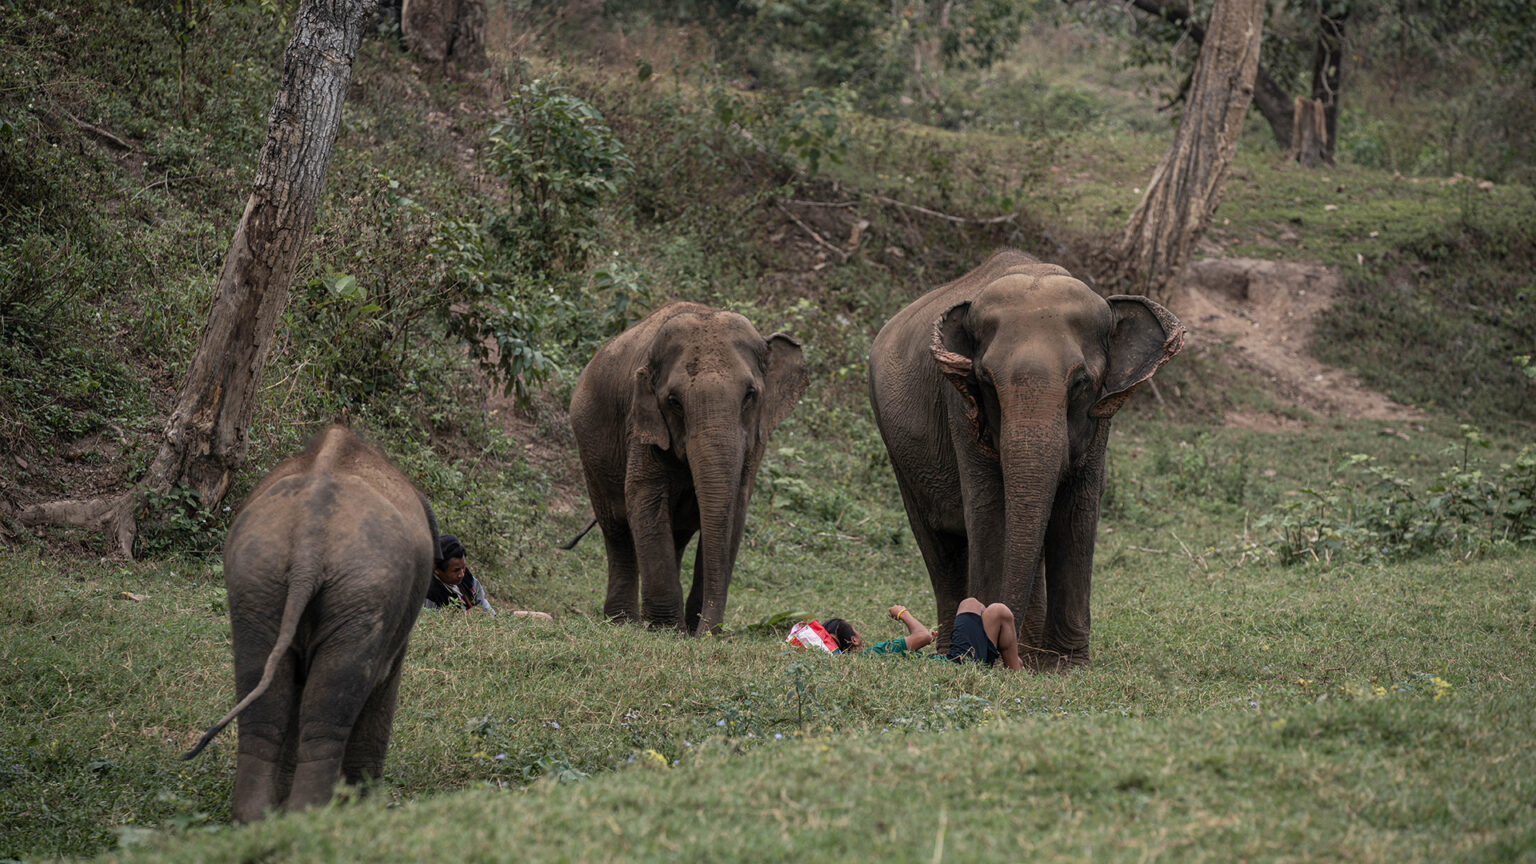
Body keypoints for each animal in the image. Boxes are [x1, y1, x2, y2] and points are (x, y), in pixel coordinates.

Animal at [183, 425, 438, 823]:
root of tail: (309, 542)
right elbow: (384, 682)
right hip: (362, 589)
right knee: (330, 707)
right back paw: (314, 815)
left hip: (257, 581)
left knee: (262, 701)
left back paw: (256, 819)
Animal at [569, 302, 809, 635]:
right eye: (674, 402)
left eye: (750, 395)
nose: (706, 632)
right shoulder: (640, 425)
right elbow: (644, 498)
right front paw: (667, 630)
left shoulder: (756, 440)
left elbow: (735, 508)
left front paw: (692, 629)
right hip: (590, 451)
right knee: (617, 530)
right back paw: (623, 622)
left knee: (676, 534)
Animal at [868, 250, 1184, 669]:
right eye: (985, 382)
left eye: (1081, 383)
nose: (1002, 652)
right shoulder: (960, 406)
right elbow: (991, 511)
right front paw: (1019, 657)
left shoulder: (1099, 420)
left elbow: (1076, 513)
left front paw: (1066, 666)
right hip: (897, 448)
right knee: (940, 546)